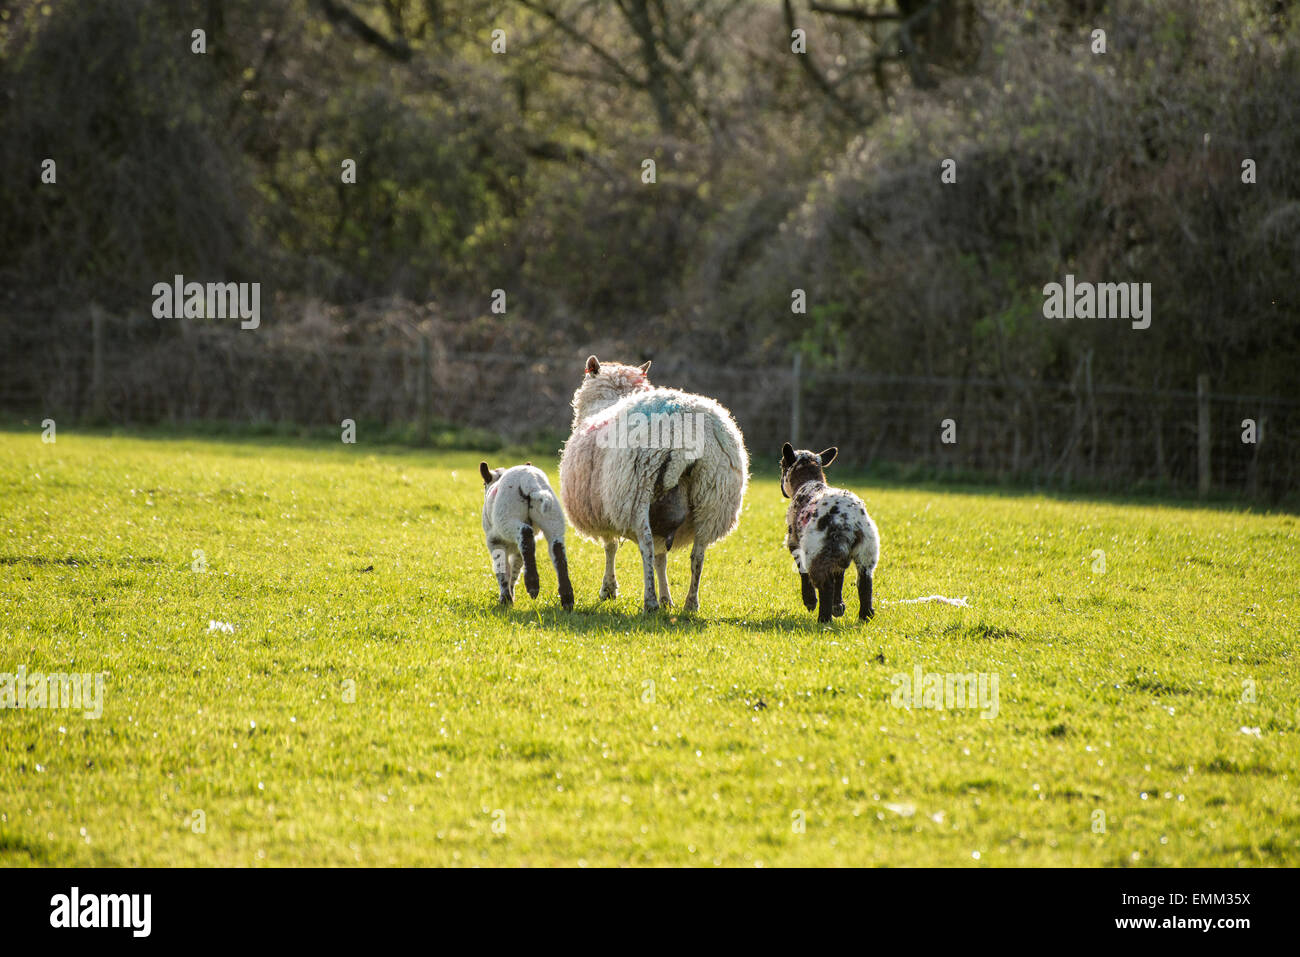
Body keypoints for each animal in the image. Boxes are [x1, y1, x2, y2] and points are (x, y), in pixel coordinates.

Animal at [480, 461, 574, 611]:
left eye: (484, 484)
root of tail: (530, 480)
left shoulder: (494, 541)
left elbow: (502, 568)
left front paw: (506, 599)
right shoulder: (518, 550)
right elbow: (515, 569)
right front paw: (510, 596)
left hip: (507, 518)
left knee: (526, 532)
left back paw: (532, 585)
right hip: (553, 518)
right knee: (558, 551)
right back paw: (567, 598)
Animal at [559, 356, 749, 614]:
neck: (612, 398)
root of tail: (684, 433)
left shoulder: (602, 510)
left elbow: (611, 548)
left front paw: (609, 589)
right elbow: (662, 558)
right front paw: (667, 598)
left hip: (637, 490)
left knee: (646, 546)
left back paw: (649, 601)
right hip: (713, 497)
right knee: (698, 554)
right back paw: (691, 603)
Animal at [780, 443, 880, 624]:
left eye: (781, 465)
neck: (808, 483)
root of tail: (847, 520)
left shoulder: (794, 543)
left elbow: (802, 571)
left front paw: (810, 601)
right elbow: (840, 576)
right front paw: (838, 606)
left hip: (819, 550)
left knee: (826, 584)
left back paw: (824, 619)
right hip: (867, 548)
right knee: (864, 583)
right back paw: (865, 616)